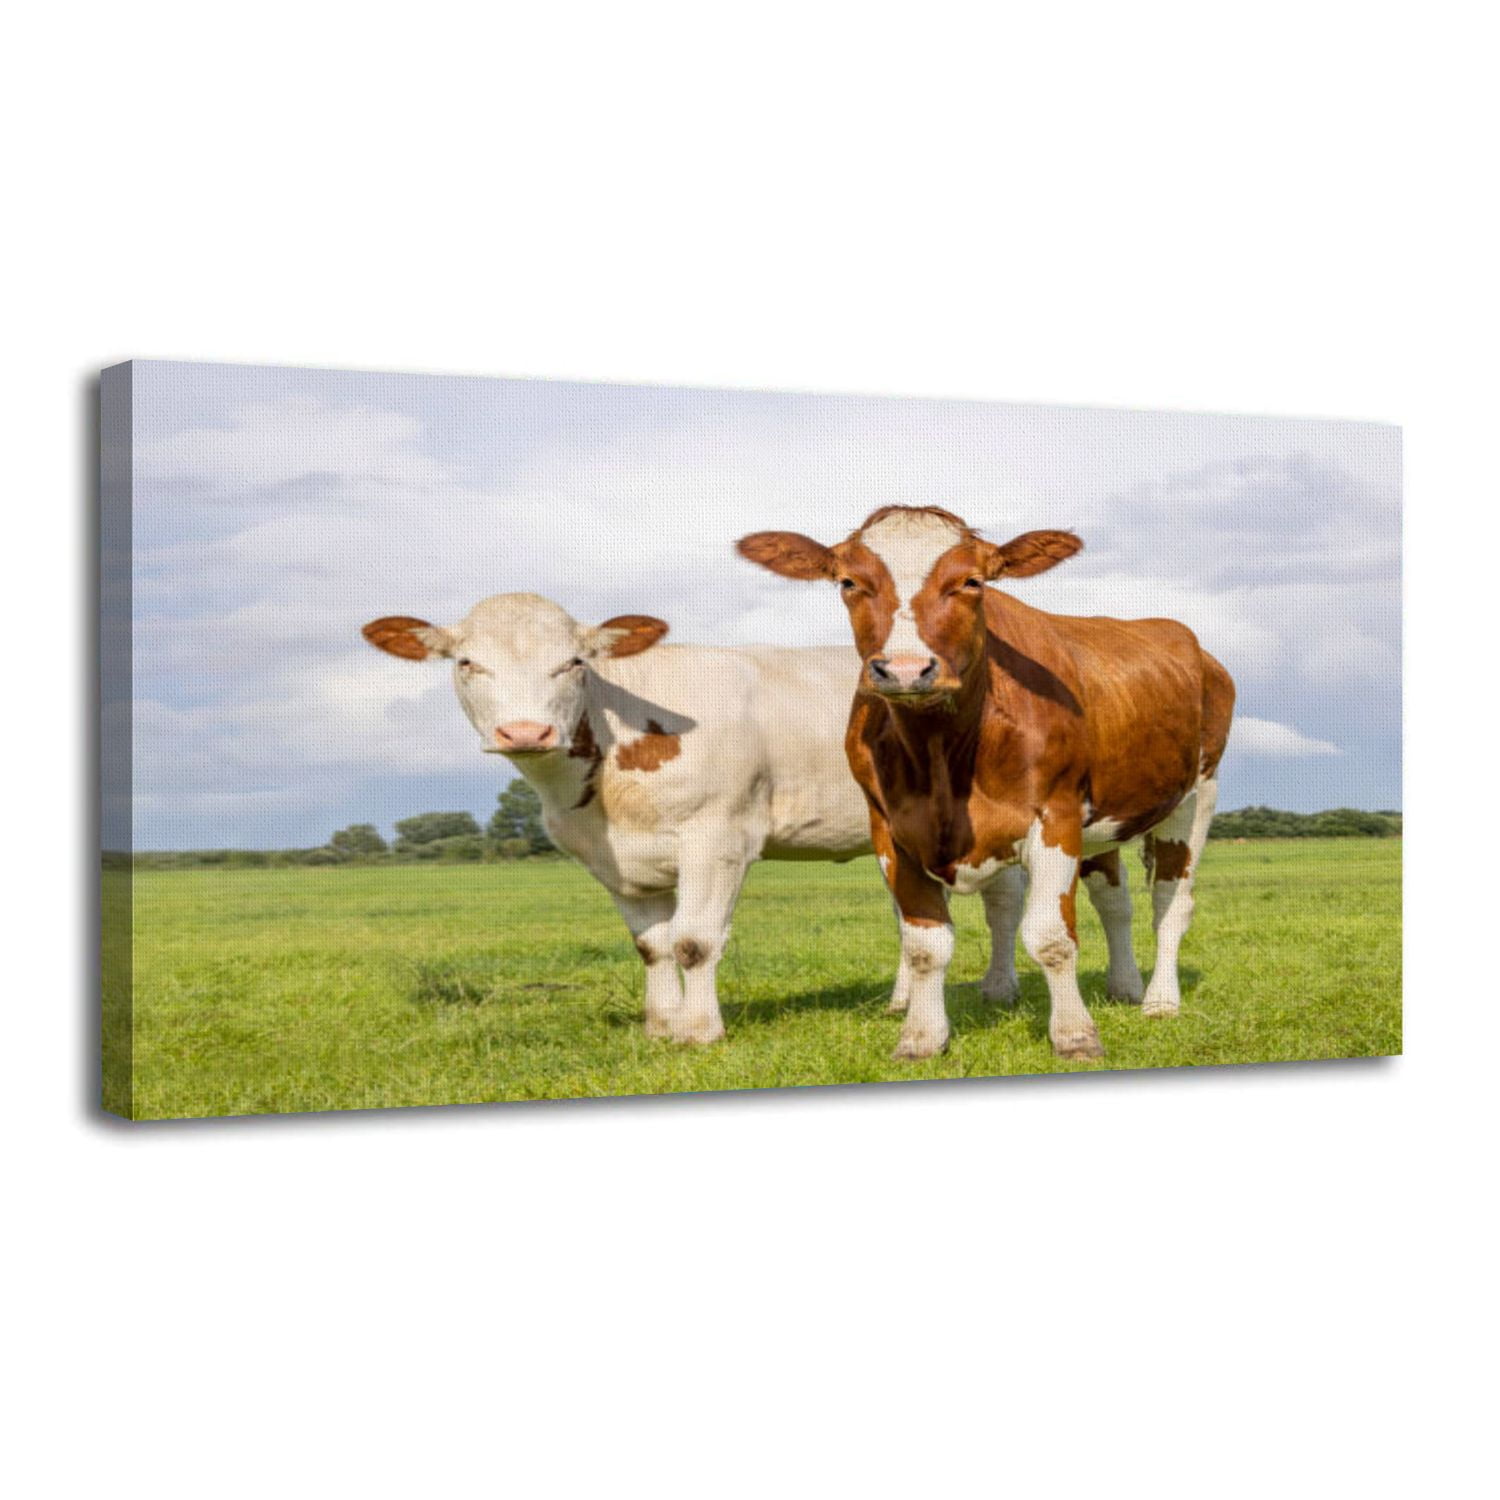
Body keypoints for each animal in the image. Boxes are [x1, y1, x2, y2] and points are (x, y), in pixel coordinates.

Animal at [360, 592, 1027, 1044]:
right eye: (466, 663)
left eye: (574, 662)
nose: (525, 732)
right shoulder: (611, 859)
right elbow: (652, 946)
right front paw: (662, 1024)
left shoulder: (719, 836)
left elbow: (693, 941)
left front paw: (700, 1031)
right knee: (907, 910)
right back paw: (902, 1002)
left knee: (1004, 902)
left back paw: (998, 989)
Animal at [736, 505, 1235, 1062]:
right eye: (849, 582)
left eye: (971, 582)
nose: (905, 670)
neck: (941, 751)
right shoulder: (890, 830)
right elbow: (925, 942)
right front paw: (921, 1036)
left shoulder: (1056, 817)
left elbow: (1051, 937)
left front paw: (1075, 1036)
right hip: (1105, 821)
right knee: (1114, 901)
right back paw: (1124, 985)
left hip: (1196, 796)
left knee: (1171, 902)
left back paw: (1160, 1000)